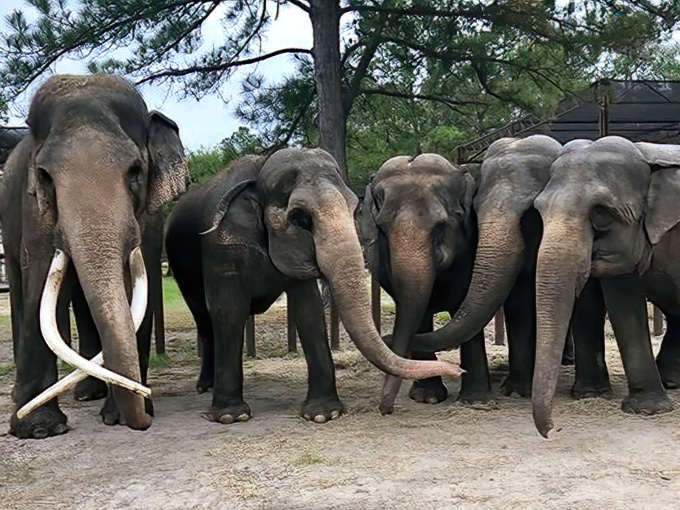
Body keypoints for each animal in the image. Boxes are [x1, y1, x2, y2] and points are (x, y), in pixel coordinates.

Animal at [0, 74, 189, 439]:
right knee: (22, 289)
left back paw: (91, 392)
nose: (144, 417)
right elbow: (39, 285)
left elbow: (135, 290)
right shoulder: (34, 212)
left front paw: (119, 415)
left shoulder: (149, 219)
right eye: (44, 175)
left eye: (135, 170)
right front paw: (38, 429)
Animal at [165, 148, 462, 424]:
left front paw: (323, 414)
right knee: (204, 318)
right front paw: (231, 417)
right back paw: (206, 387)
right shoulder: (221, 247)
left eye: (355, 208)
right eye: (299, 218)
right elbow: (229, 309)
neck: (260, 169)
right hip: (182, 269)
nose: (458, 370)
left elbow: (308, 309)